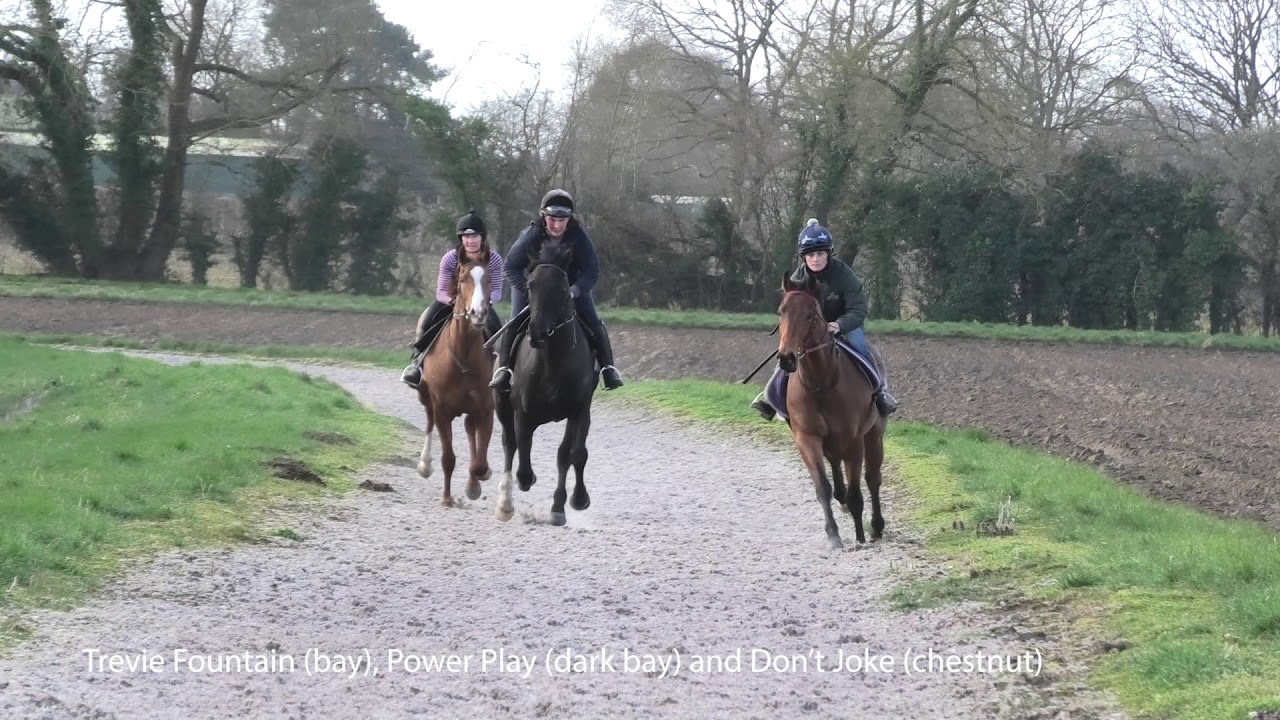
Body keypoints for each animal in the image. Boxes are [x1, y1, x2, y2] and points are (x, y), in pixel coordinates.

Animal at [414, 258, 495, 507]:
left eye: (489, 278)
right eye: (462, 279)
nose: (478, 313)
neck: (463, 355)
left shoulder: (485, 408)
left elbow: (480, 463)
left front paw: (475, 485)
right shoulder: (442, 409)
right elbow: (448, 457)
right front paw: (447, 499)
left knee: (470, 430)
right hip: (425, 395)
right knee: (429, 420)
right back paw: (424, 465)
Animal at [494, 242, 598, 526]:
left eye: (561, 288)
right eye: (530, 286)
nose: (537, 332)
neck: (554, 362)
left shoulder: (579, 411)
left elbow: (572, 455)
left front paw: (570, 502)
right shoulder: (522, 413)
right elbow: (523, 459)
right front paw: (526, 482)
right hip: (502, 407)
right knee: (510, 446)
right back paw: (505, 503)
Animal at [776, 270, 887, 550]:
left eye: (810, 314)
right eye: (781, 311)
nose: (787, 358)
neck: (821, 383)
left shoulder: (854, 440)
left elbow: (858, 490)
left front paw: (860, 536)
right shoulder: (806, 438)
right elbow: (822, 487)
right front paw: (833, 534)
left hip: (874, 434)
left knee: (873, 479)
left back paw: (876, 526)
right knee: (836, 468)